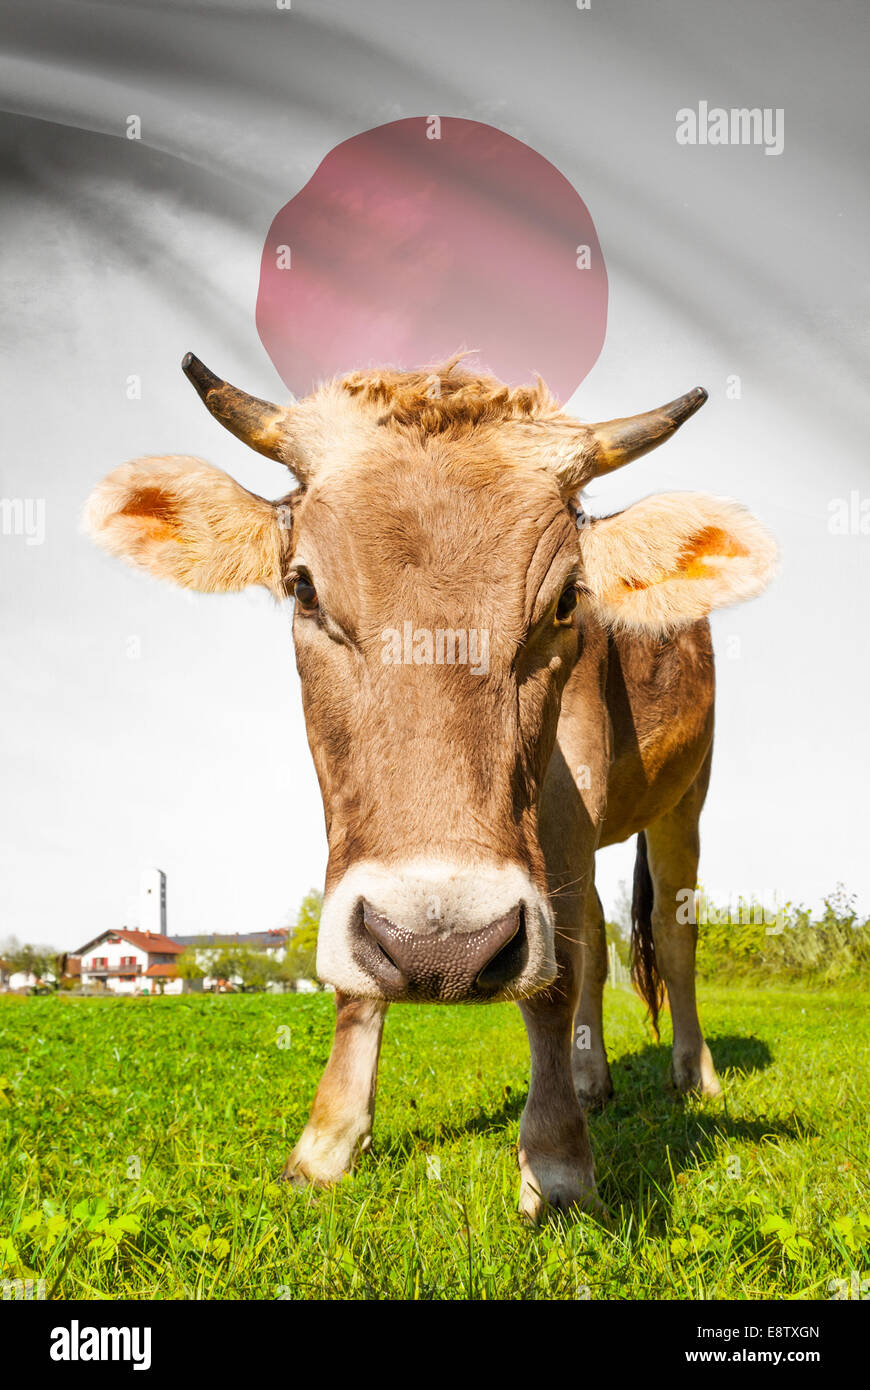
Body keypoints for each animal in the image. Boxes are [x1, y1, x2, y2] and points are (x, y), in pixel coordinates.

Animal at [85, 352, 777, 1221]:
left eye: (566, 601)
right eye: (304, 588)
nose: (441, 950)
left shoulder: (571, 799)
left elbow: (552, 979)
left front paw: (557, 1162)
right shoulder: (357, 826)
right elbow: (363, 974)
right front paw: (326, 1143)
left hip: (686, 799)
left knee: (671, 939)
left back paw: (694, 1074)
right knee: (594, 939)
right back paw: (592, 1080)